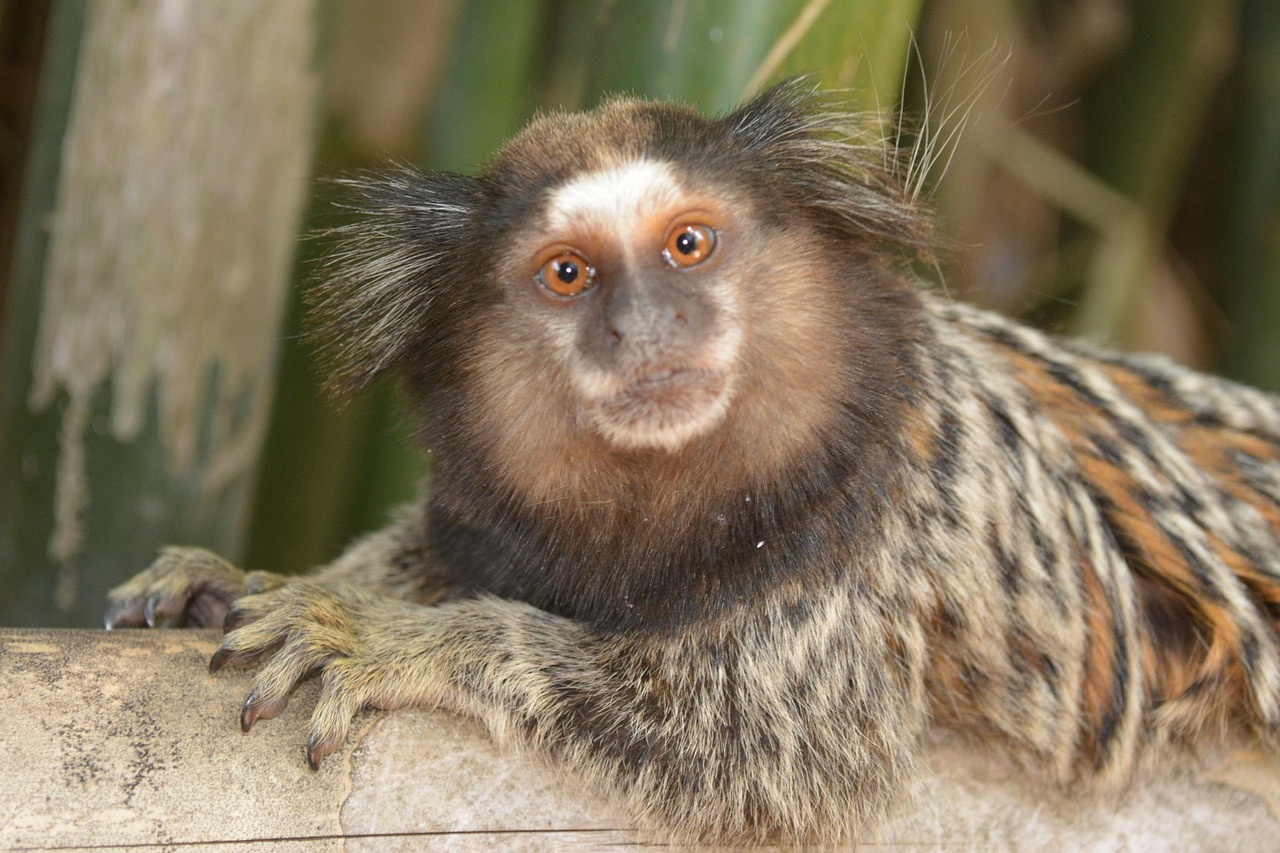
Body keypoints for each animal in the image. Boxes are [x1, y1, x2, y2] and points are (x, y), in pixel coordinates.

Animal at [104, 79, 1280, 845]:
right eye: (569, 273)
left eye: (687, 246)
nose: (646, 325)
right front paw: (240, 581)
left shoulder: (865, 530)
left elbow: (760, 743)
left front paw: (384, 633)